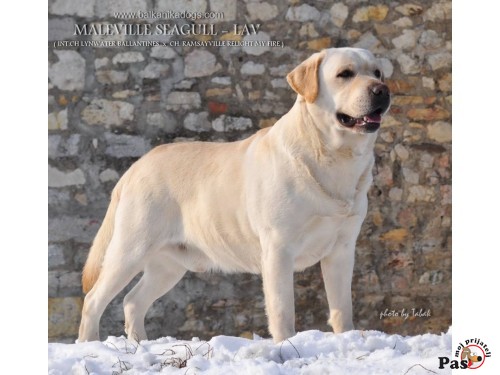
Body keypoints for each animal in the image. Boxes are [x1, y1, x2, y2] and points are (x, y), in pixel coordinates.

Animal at [78, 47, 390, 344]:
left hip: (168, 264)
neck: (334, 157)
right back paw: (90, 342)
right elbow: (282, 308)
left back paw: (139, 344)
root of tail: (135, 167)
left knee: (133, 301)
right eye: (345, 74)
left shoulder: (342, 248)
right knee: (94, 299)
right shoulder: (278, 247)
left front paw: (346, 337)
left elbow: (341, 307)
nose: (381, 90)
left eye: (377, 72)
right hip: (131, 248)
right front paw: (286, 345)